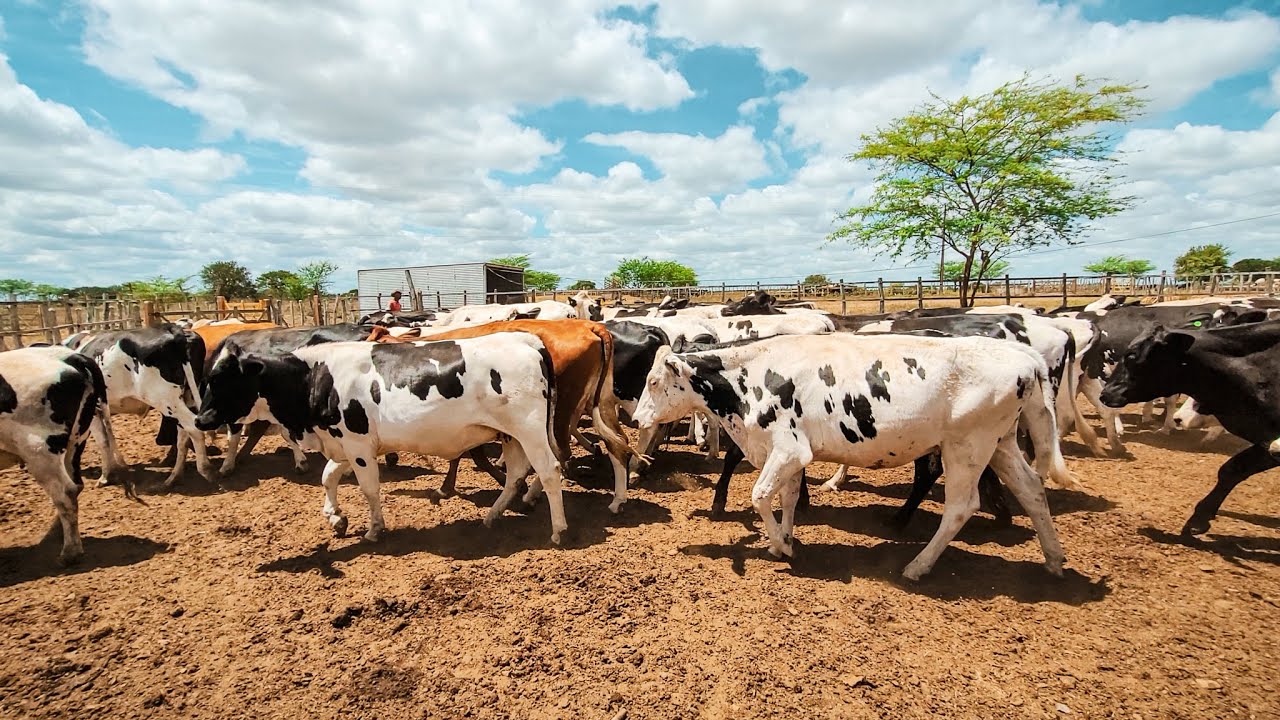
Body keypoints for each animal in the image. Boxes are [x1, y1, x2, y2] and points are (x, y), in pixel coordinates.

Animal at [0, 346, 133, 564]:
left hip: (39, 451)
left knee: (66, 492)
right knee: (75, 485)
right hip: (76, 439)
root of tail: (73, 358)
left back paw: (70, 553)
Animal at [68, 325, 214, 487]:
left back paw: (205, 470)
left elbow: (102, 442)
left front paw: (105, 476)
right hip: (187, 398)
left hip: (167, 400)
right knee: (183, 435)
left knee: (193, 428)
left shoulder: (91, 411)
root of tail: (172, 329)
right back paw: (174, 477)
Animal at [195, 335, 569, 543]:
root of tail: (527, 340)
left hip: (529, 429)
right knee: (517, 473)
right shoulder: (342, 443)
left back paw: (558, 530)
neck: (316, 376)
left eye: (225, 380)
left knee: (549, 470)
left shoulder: (359, 445)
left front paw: (374, 529)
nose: (200, 419)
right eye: (210, 377)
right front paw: (336, 517)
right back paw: (492, 516)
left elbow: (369, 488)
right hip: (511, 435)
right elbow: (327, 477)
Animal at [632, 334, 1069, 580]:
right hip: (1001, 443)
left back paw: (918, 566)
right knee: (1032, 490)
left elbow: (760, 496)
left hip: (967, 447)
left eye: (653, 381)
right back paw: (1053, 560)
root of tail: (1025, 357)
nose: (636, 418)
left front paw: (782, 546)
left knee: (961, 507)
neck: (753, 374)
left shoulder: (788, 449)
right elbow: (788, 497)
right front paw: (784, 540)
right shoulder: (793, 455)